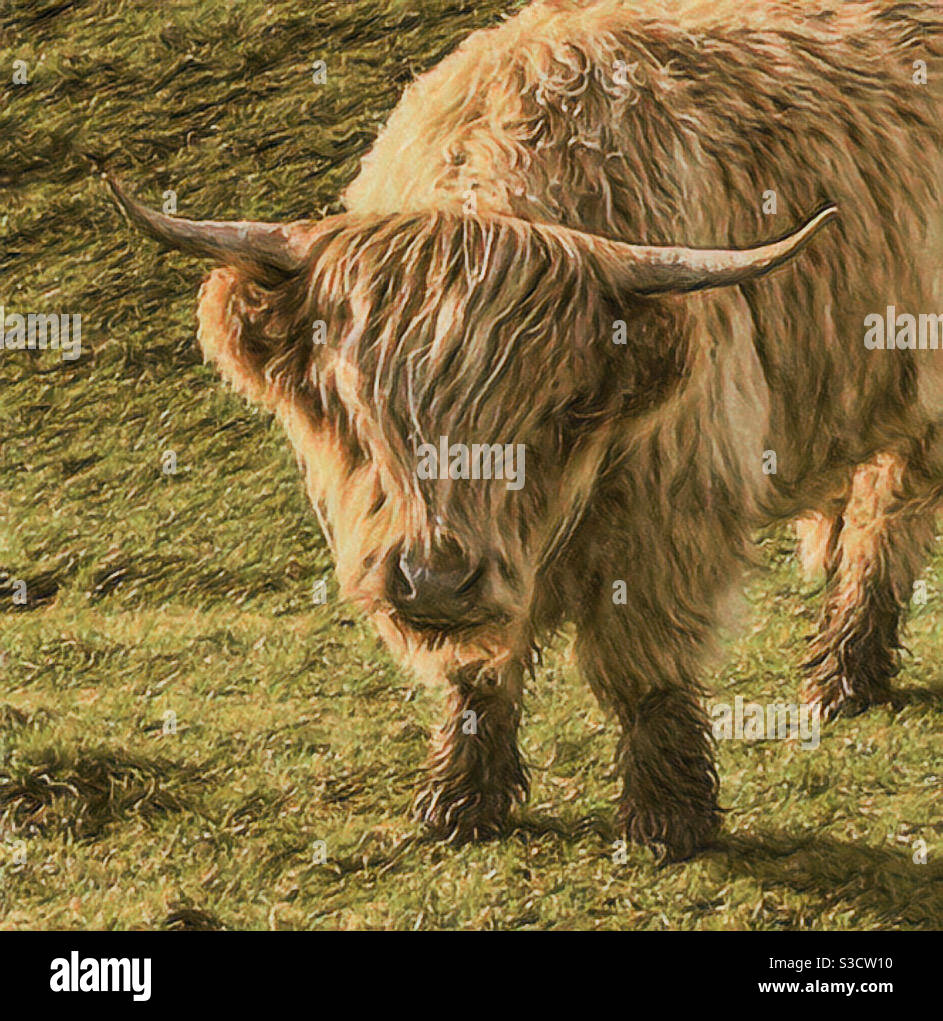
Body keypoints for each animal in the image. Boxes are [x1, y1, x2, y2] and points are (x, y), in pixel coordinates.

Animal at [107, 0, 942, 860]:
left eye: (553, 409)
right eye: (361, 410)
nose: (434, 580)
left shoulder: (665, 506)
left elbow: (643, 665)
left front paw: (667, 817)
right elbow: (478, 669)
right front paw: (457, 800)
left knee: (886, 519)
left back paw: (842, 676)